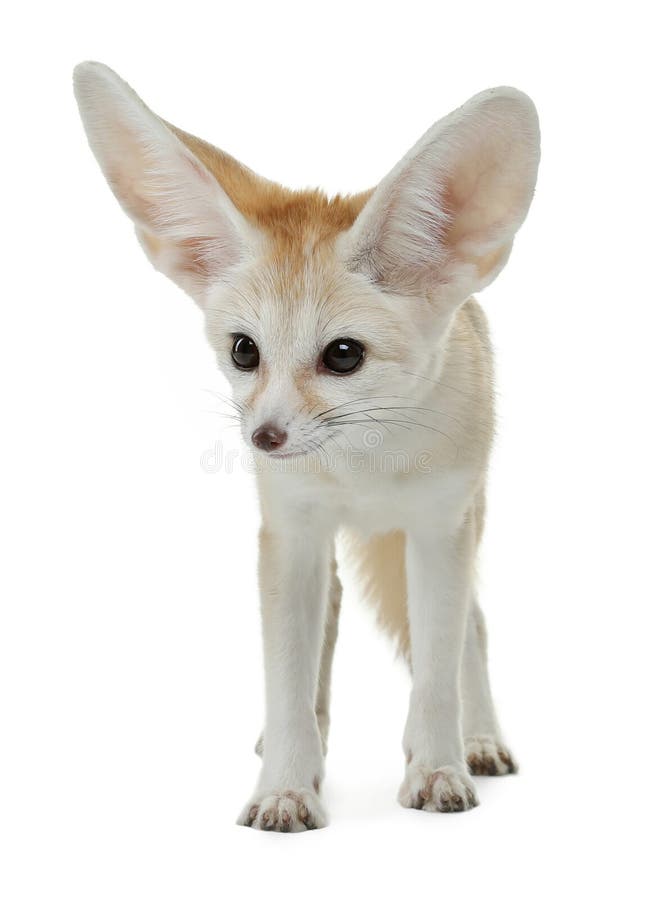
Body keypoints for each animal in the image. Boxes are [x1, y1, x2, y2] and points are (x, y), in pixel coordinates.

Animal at [74, 61, 540, 832]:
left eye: (343, 355)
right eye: (244, 350)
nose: (264, 437)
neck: (365, 472)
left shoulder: (438, 532)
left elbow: (440, 666)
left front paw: (437, 767)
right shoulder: (290, 532)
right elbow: (288, 672)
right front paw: (287, 786)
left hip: (465, 525)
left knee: (470, 630)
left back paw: (476, 739)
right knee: (327, 629)